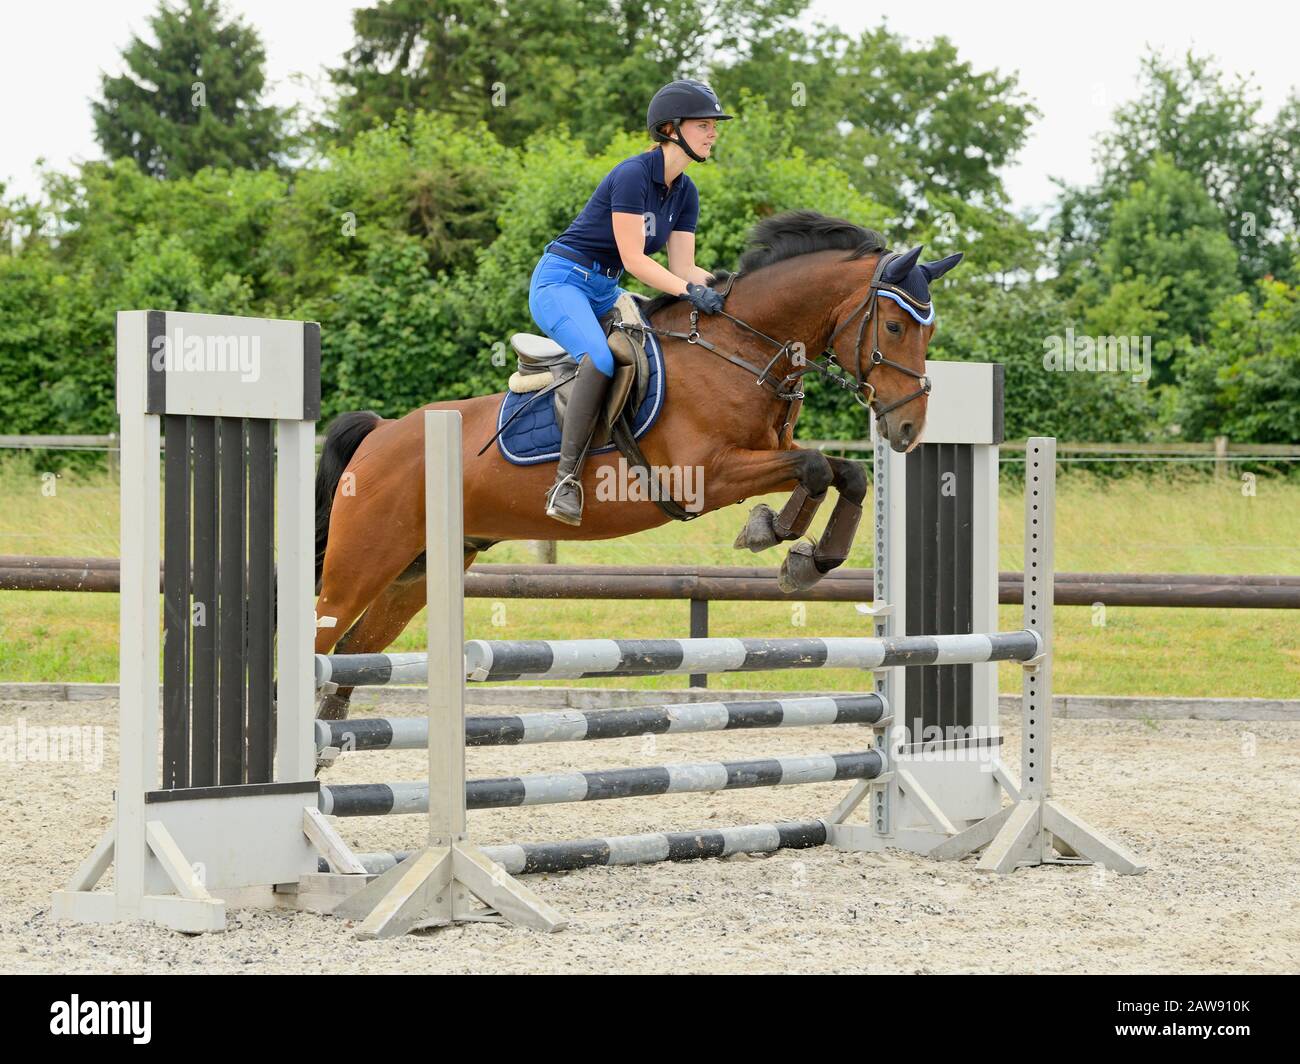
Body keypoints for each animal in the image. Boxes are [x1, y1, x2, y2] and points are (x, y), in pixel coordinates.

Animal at [312, 210, 962, 719]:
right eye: (895, 326)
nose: (908, 429)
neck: (741, 349)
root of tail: (381, 434)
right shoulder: (703, 476)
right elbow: (814, 469)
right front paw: (771, 532)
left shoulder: (766, 452)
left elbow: (844, 472)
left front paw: (806, 559)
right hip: (362, 561)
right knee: (320, 637)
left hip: (415, 571)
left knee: (352, 652)